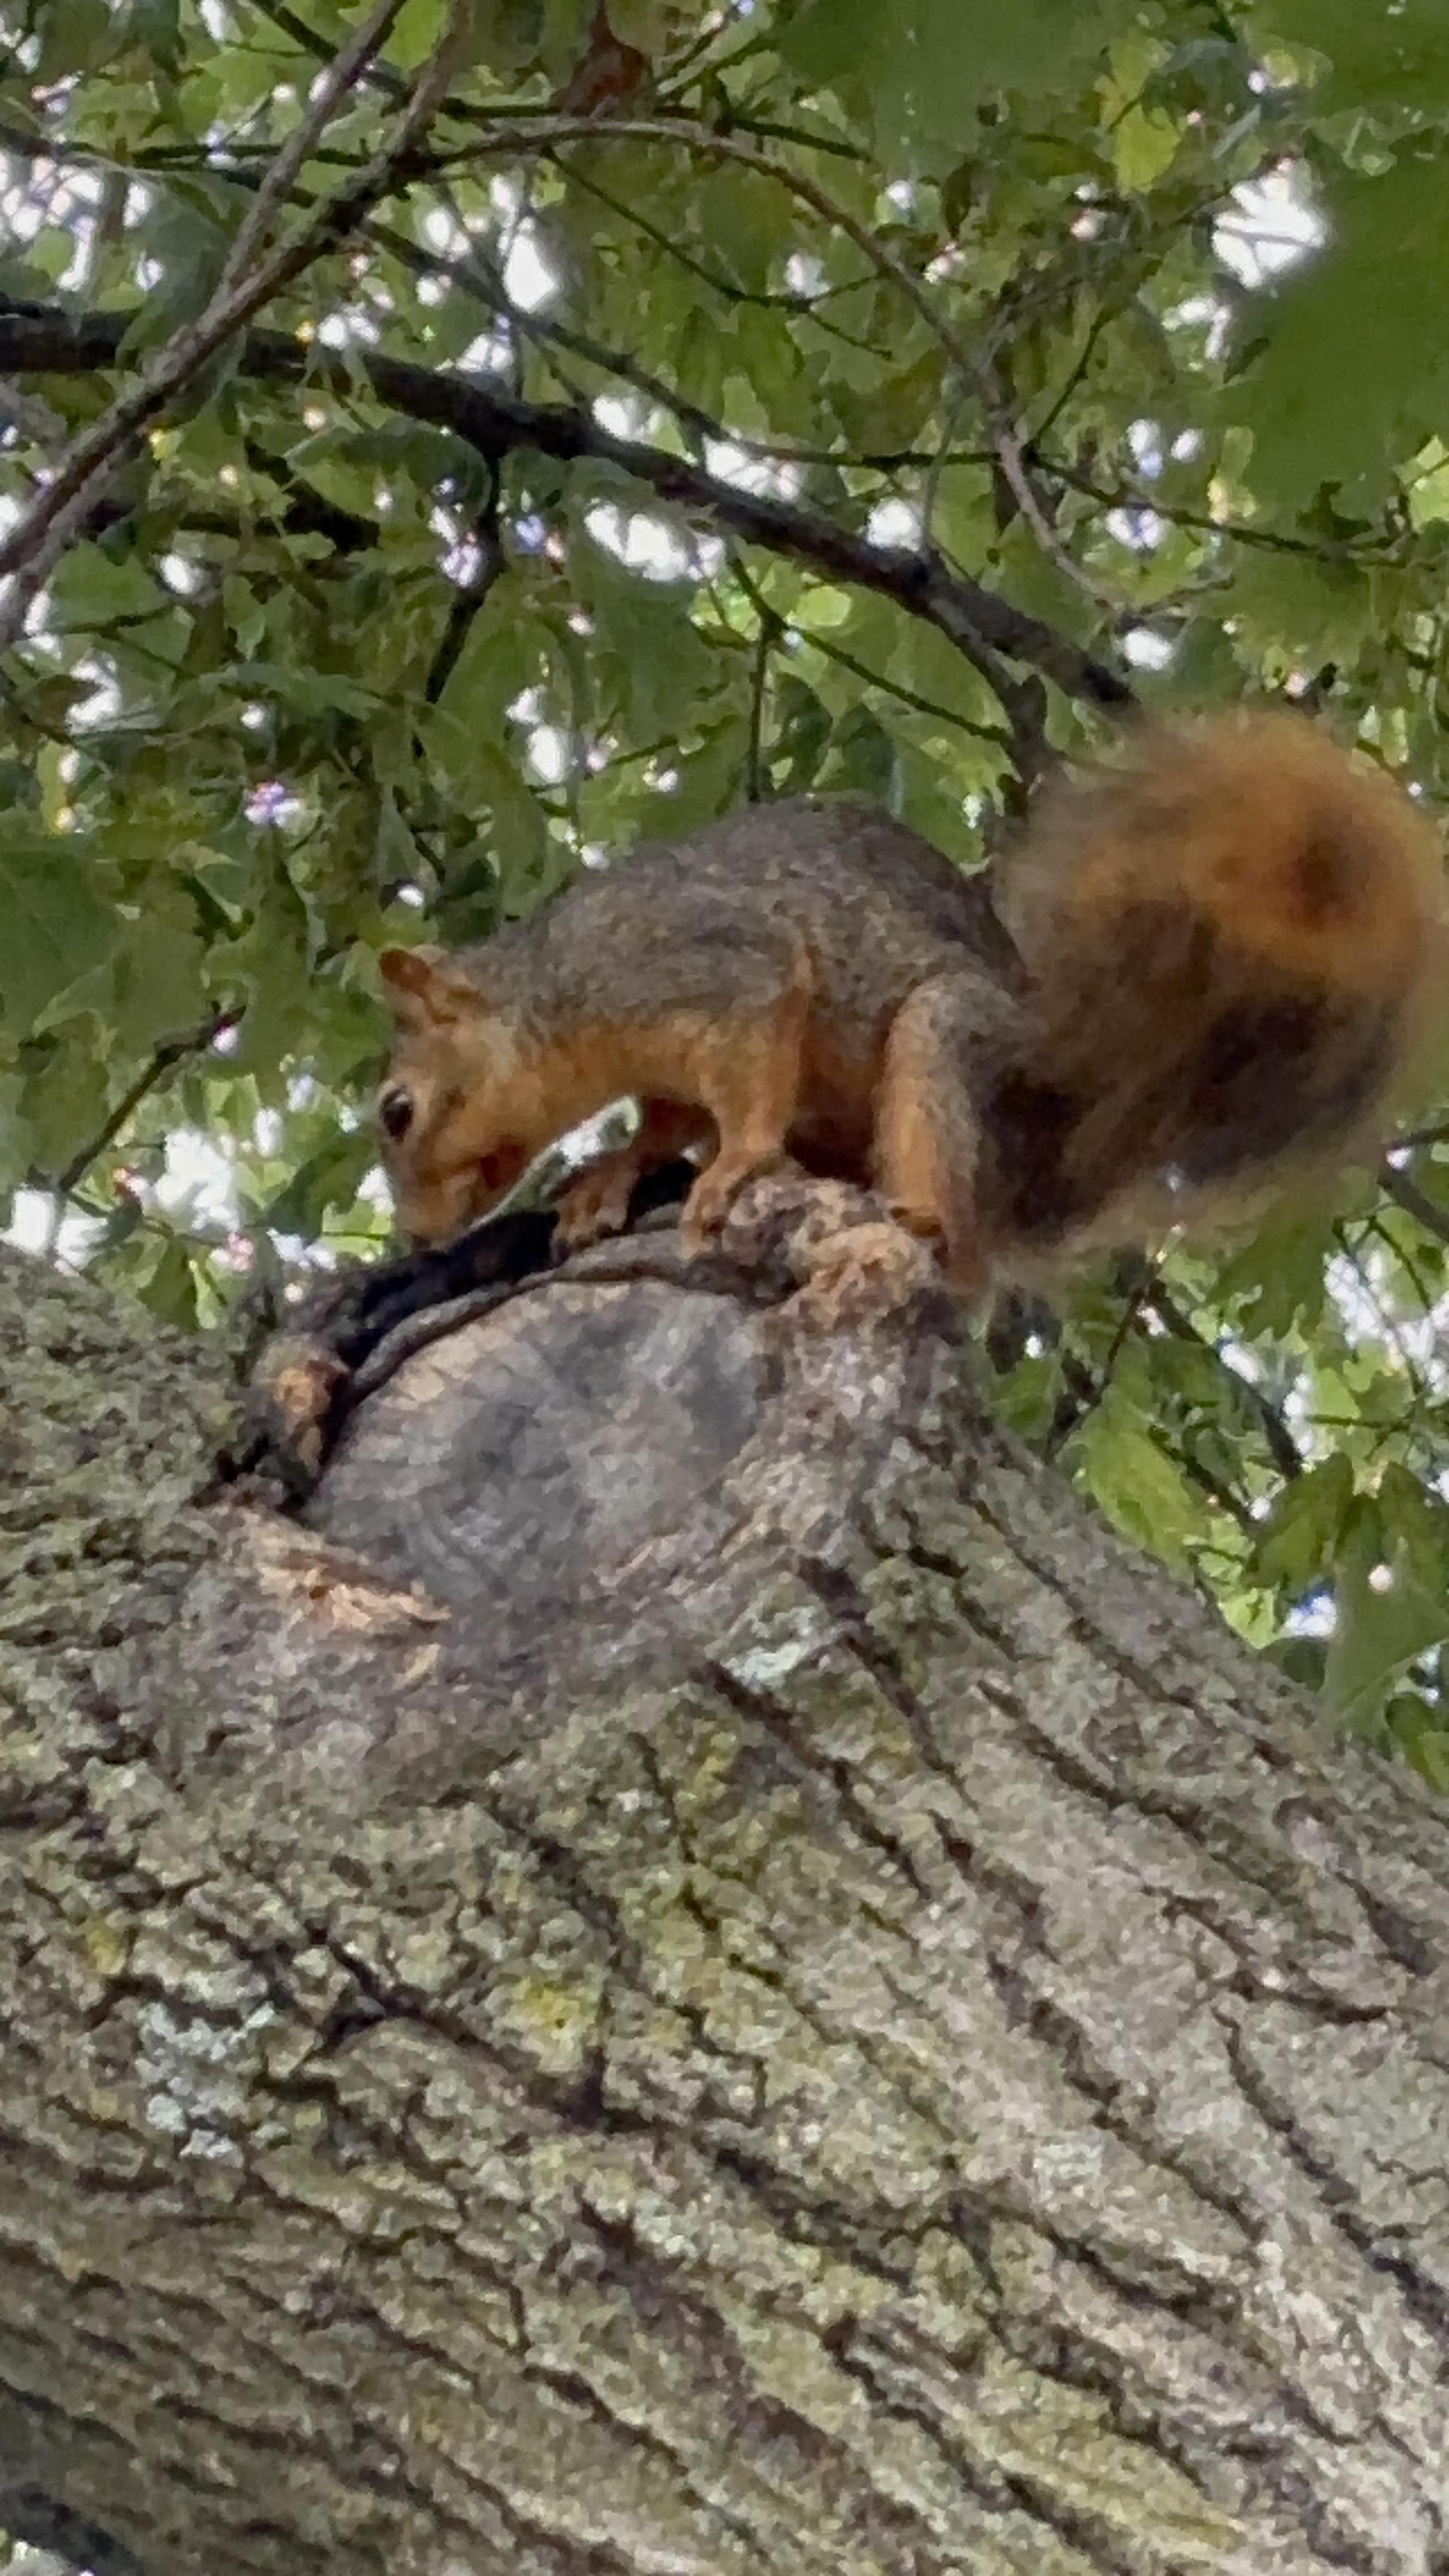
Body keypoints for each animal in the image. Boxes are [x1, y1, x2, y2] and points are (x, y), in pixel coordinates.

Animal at [374, 712, 1448, 1303]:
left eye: (397, 1111)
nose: (420, 1240)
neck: (556, 995)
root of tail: (1059, 1135)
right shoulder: (667, 1046)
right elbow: (668, 1118)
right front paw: (612, 1174)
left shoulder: (708, 964)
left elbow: (750, 1074)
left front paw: (733, 1164)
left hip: (951, 1049)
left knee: (960, 1244)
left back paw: (927, 1221)